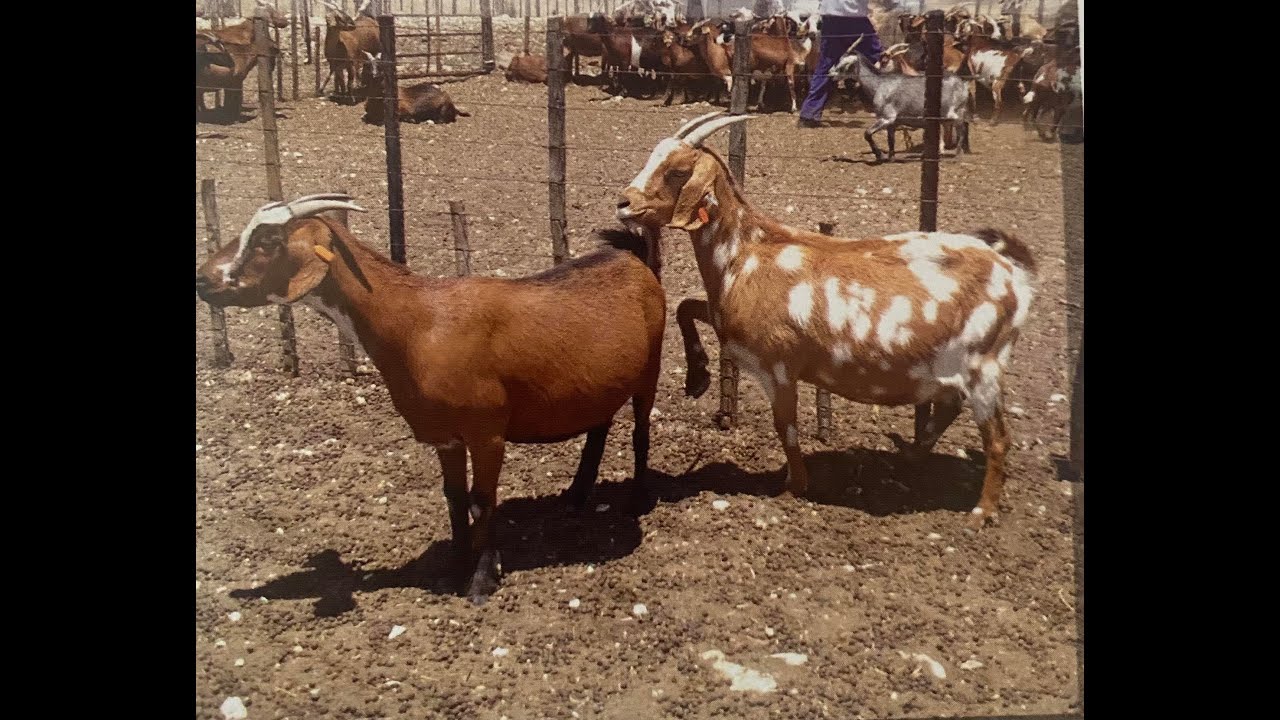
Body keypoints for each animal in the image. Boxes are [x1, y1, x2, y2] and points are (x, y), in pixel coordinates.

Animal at [194, 194, 667, 604]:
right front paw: (453, 569)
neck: (417, 323)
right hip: (600, 383)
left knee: (641, 430)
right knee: (600, 426)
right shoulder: (445, 435)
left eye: (268, 241)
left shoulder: (487, 432)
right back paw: (576, 494)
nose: (202, 279)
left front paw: (482, 580)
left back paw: (637, 500)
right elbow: (454, 498)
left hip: (651, 366)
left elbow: (482, 500)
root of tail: (634, 259)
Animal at [615, 112, 1037, 530]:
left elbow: (785, 426)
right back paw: (911, 458)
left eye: (677, 171)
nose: (623, 203)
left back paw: (981, 512)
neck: (745, 254)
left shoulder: (779, 365)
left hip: (984, 366)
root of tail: (1011, 271)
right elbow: (685, 307)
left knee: (998, 438)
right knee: (950, 406)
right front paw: (698, 378)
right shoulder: (724, 318)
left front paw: (794, 487)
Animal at [830, 50, 972, 163]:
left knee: (962, 130)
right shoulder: (893, 123)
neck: (879, 84)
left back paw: (957, 155)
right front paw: (891, 158)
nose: (831, 75)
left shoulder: (887, 117)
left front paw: (879, 155)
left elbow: (867, 133)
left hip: (957, 113)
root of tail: (963, 84)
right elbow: (890, 140)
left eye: (846, 64)